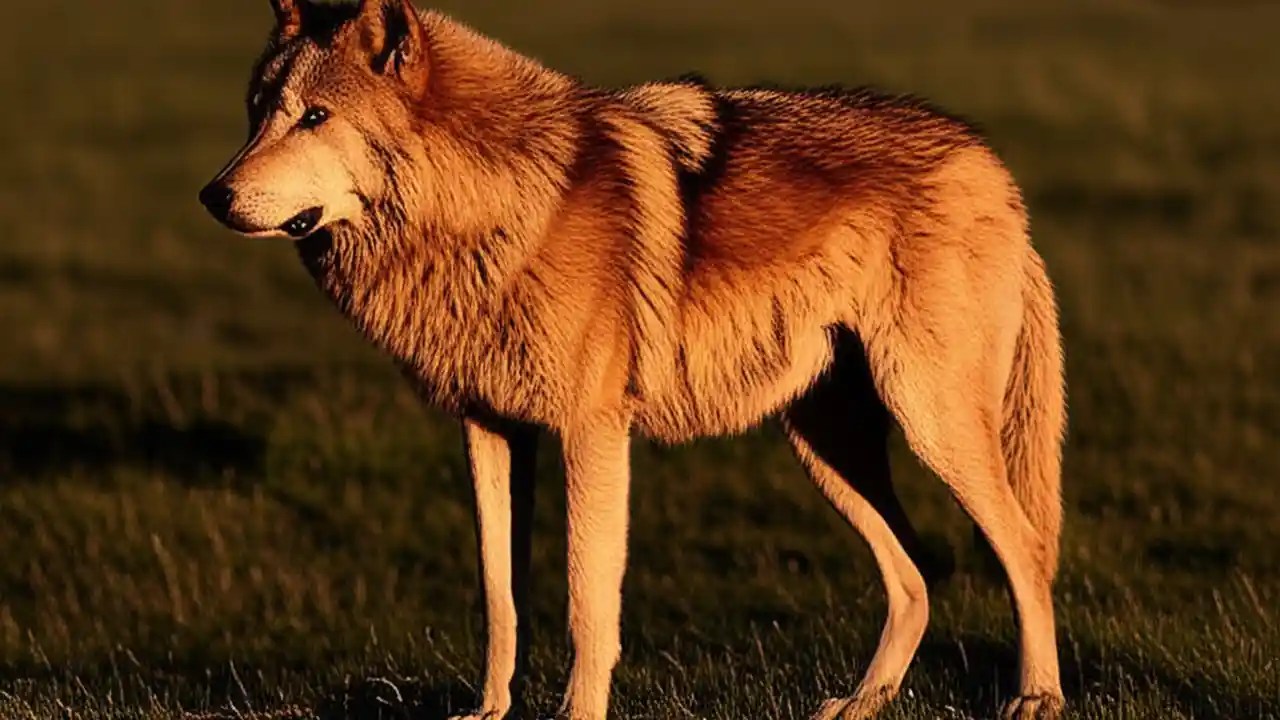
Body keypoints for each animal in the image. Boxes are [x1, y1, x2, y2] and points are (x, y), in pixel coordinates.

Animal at [199, 1, 1067, 718]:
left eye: (315, 117)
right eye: (256, 114)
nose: (213, 196)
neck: (491, 208)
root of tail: (994, 170)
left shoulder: (593, 433)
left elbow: (587, 601)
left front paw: (576, 714)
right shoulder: (490, 431)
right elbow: (500, 595)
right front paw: (489, 713)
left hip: (929, 424)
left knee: (1024, 547)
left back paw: (1035, 697)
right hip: (825, 445)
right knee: (917, 571)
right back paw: (860, 704)